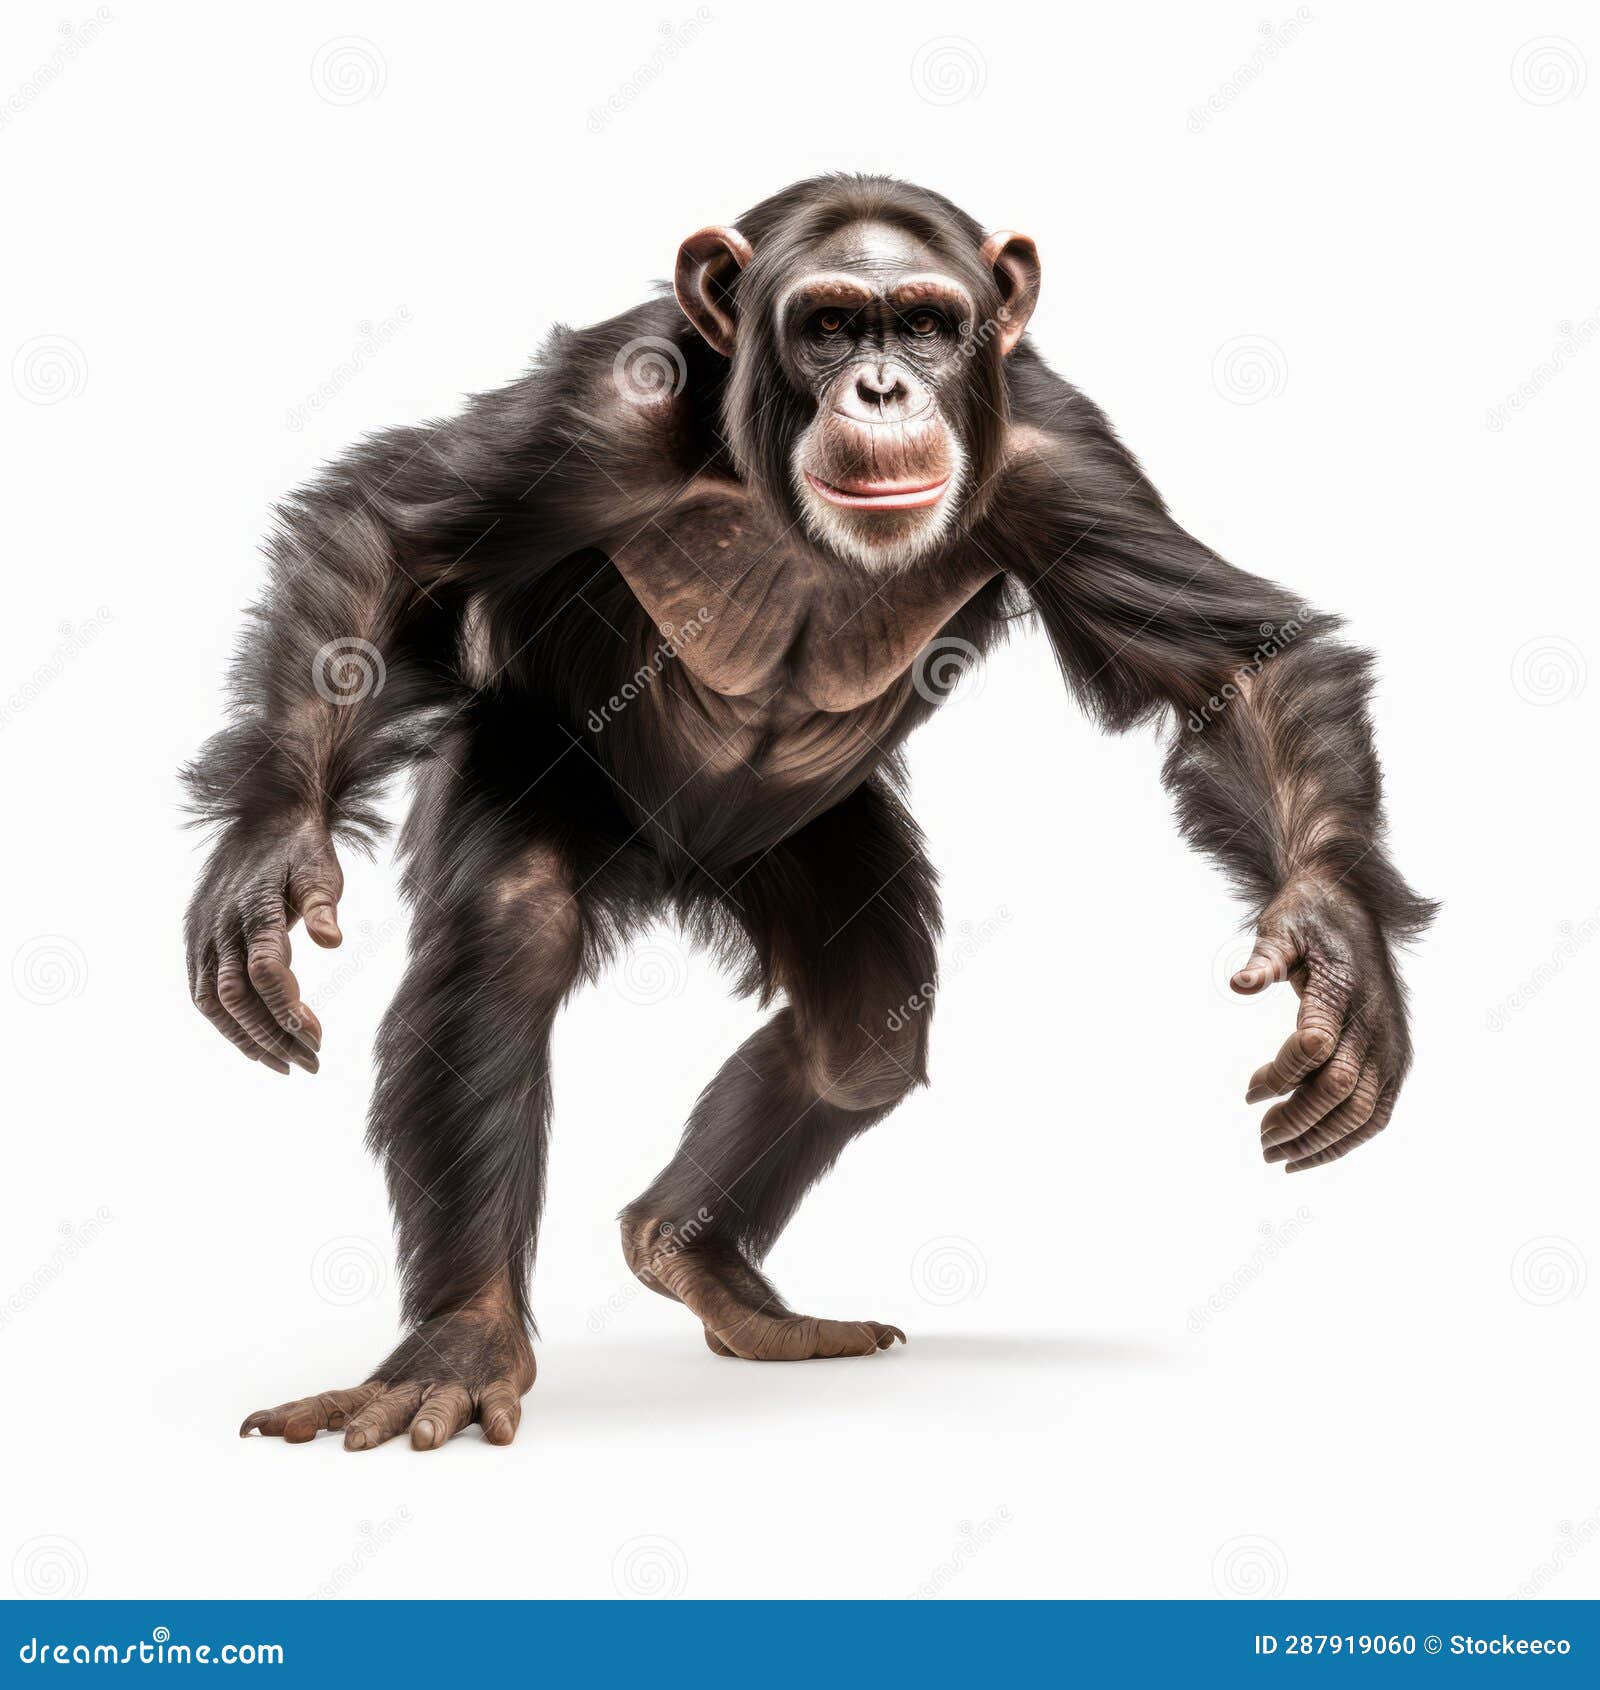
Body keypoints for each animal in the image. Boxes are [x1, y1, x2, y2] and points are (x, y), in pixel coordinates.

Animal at [182, 174, 1433, 1451]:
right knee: (509, 937)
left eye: (925, 325)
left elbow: (1236, 666)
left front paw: (1338, 960)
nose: (881, 387)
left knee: (861, 1033)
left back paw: (697, 1259)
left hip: (802, 841)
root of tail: (667, 862)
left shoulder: (1060, 463)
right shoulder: (600, 412)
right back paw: (461, 1339)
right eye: (829, 325)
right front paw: (271, 854)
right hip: (527, 758)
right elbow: (393, 539)